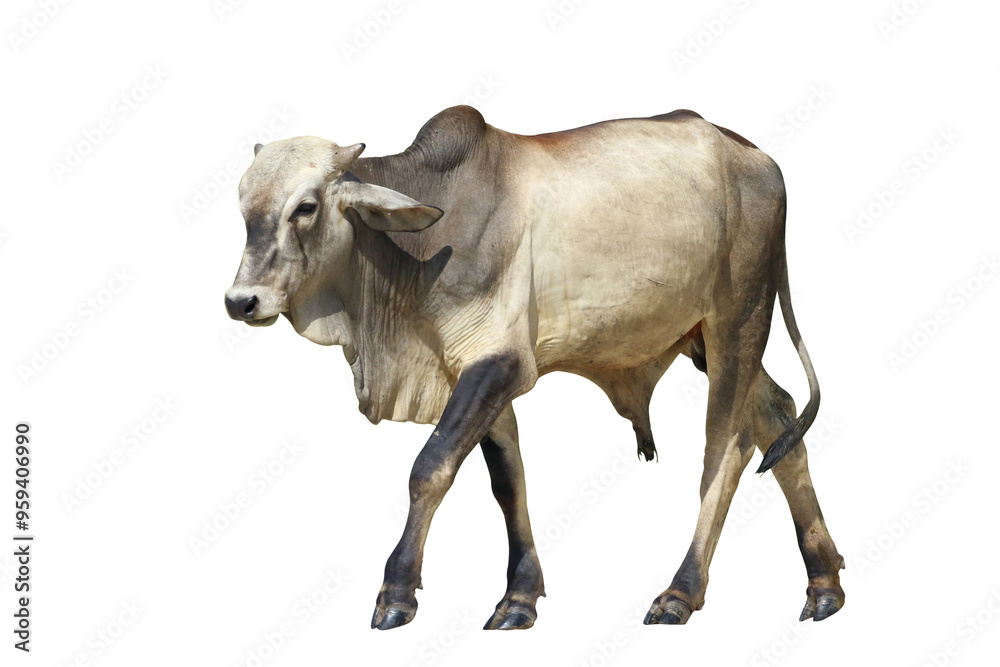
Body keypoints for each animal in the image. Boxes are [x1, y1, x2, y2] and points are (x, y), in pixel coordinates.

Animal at [224, 105, 845, 630]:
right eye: (243, 207)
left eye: (306, 207)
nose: (241, 301)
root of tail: (755, 156)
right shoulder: (476, 373)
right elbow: (507, 480)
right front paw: (519, 597)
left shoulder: (496, 363)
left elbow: (430, 468)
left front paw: (396, 593)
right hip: (701, 340)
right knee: (780, 418)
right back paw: (823, 584)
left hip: (738, 323)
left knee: (728, 448)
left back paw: (680, 593)